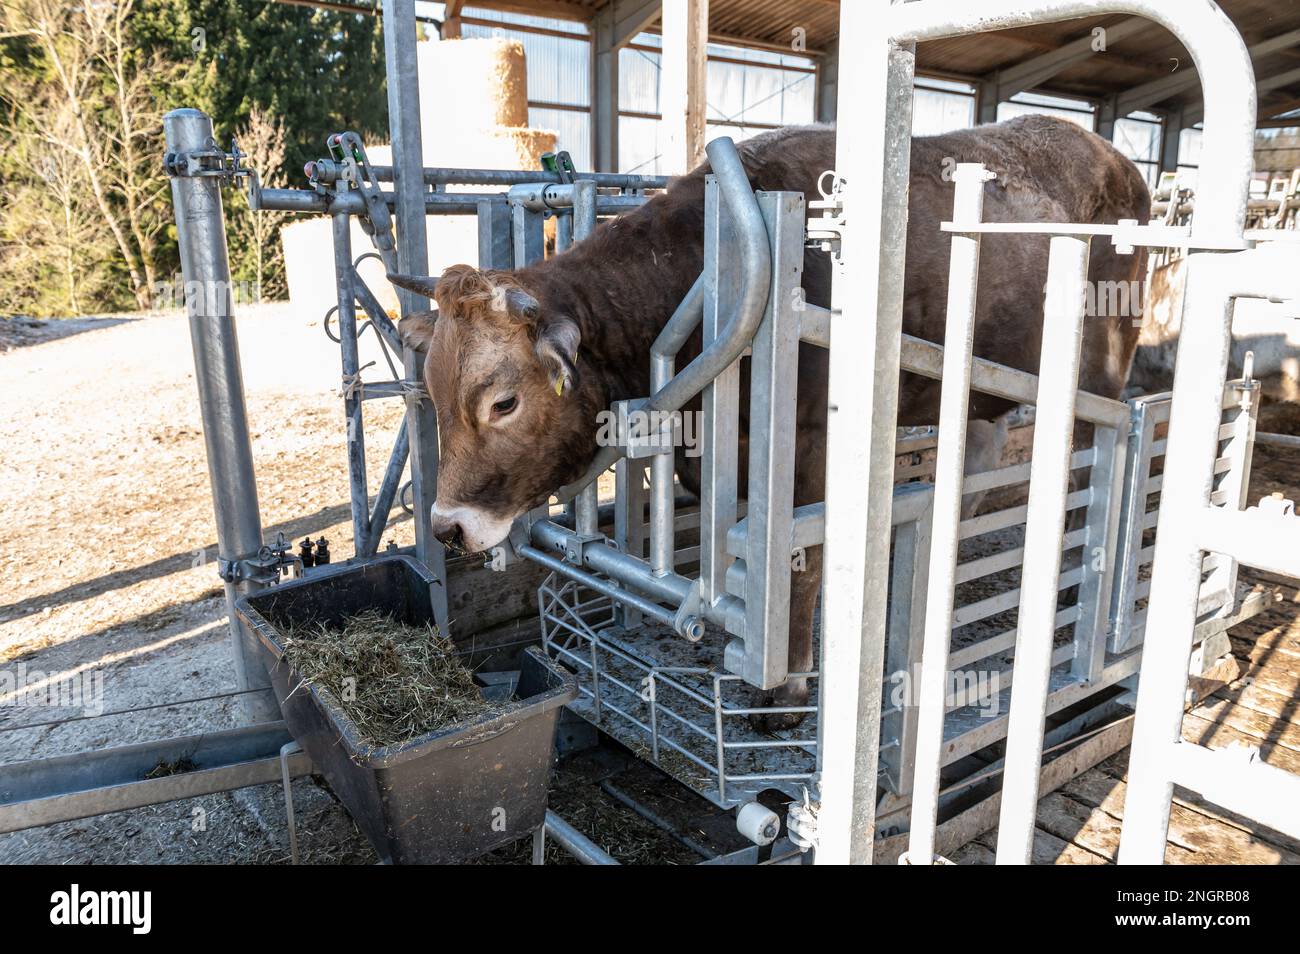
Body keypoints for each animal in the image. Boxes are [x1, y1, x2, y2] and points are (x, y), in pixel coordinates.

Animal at [389, 114, 1151, 731]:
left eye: (503, 403)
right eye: (433, 392)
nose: (446, 526)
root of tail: (1109, 151)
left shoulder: (808, 450)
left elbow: (796, 566)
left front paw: (784, 693)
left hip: (1102, 375)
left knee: (1093, 474)